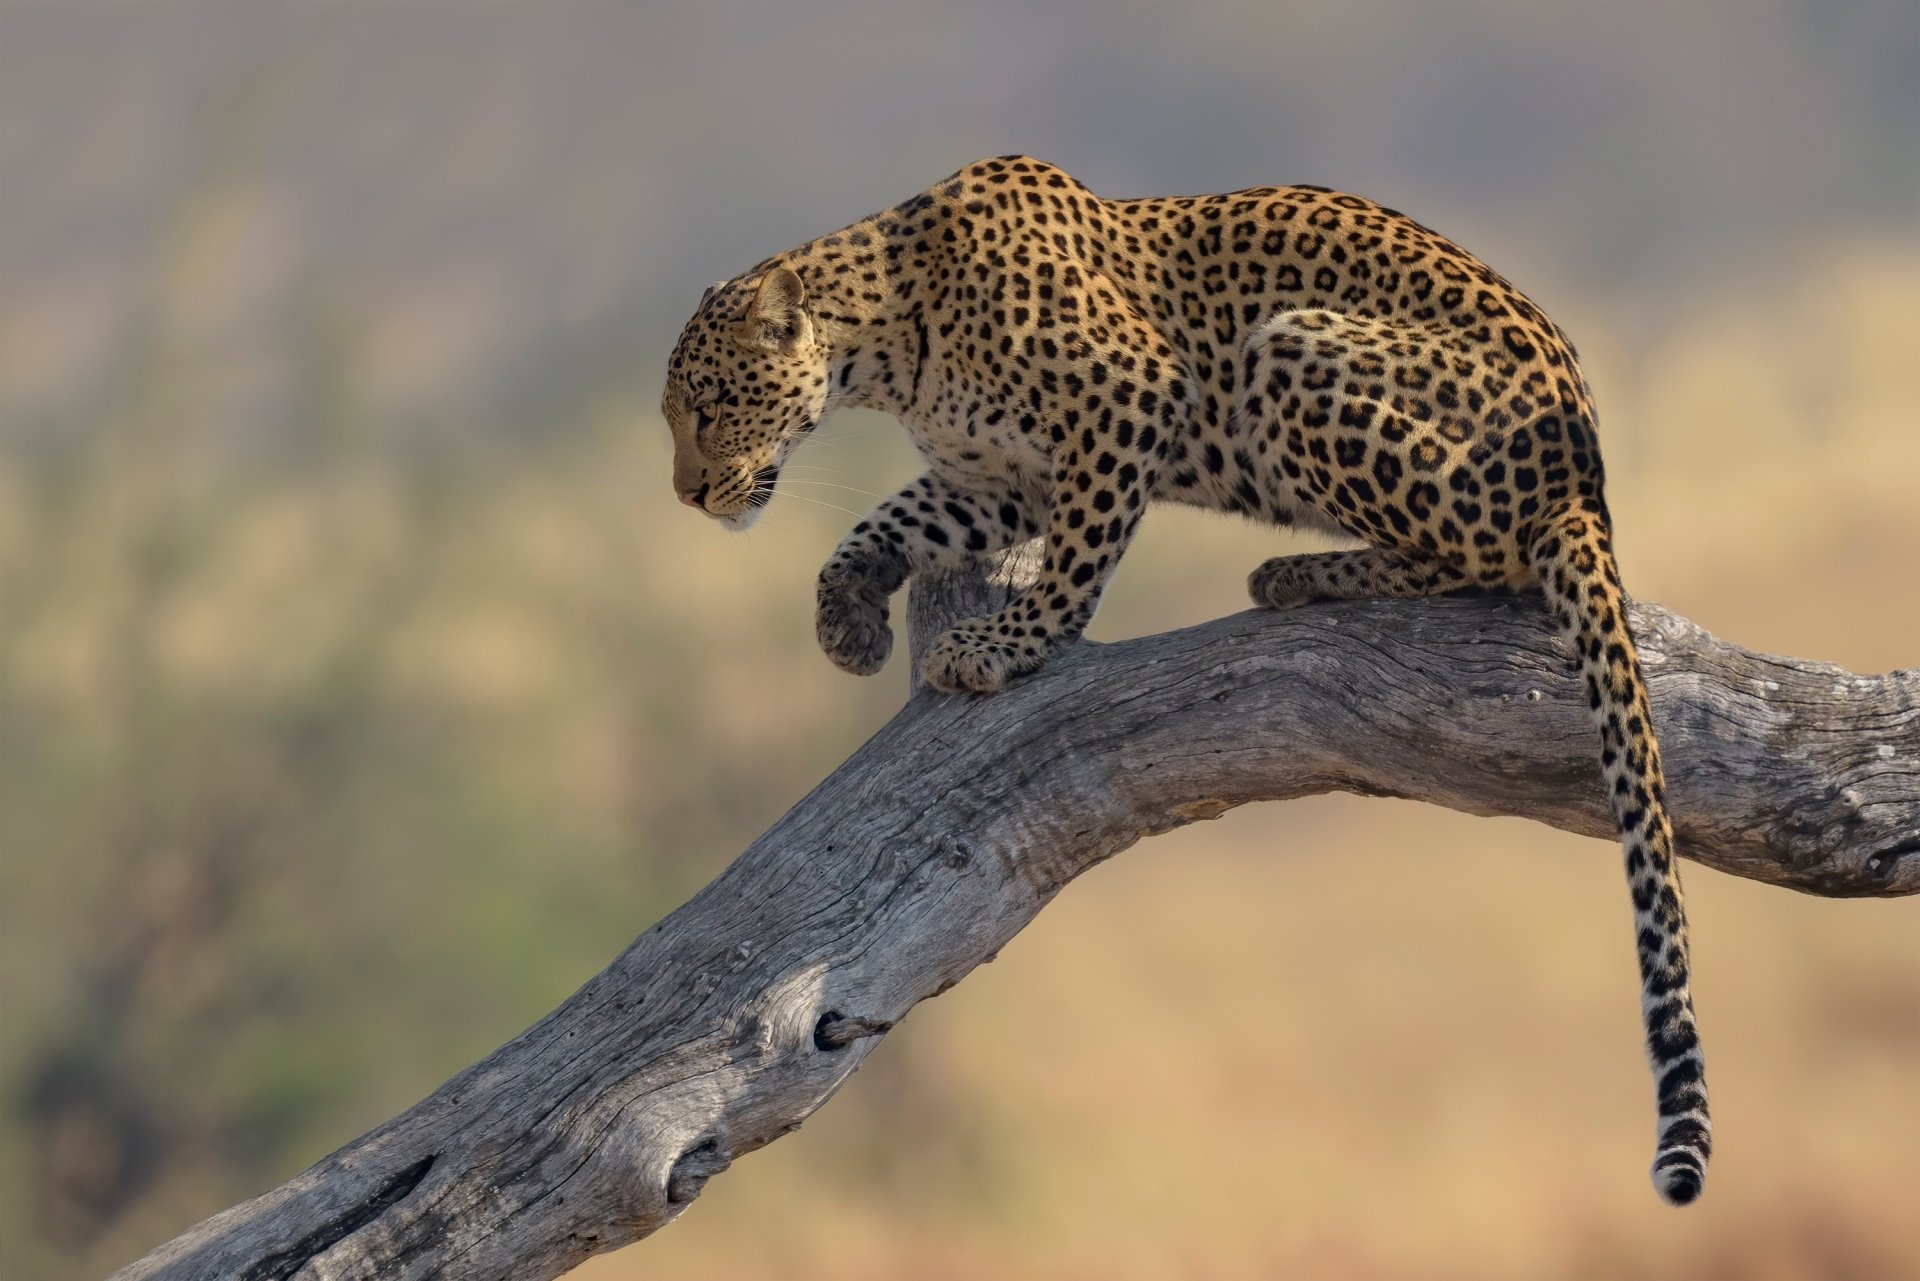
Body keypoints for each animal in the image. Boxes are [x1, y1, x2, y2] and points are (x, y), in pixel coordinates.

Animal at [661, 156, 1710, 1205]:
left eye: (709, 406)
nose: (687, 494)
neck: (882, 346)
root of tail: (1585, 479)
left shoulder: (1127, 397)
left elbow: (1079, 551)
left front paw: (1010, 641)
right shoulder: (994, 480)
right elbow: (878, 525)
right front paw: (847, 622)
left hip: (1295, 345)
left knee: (1482, 557)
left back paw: (1298, 573)